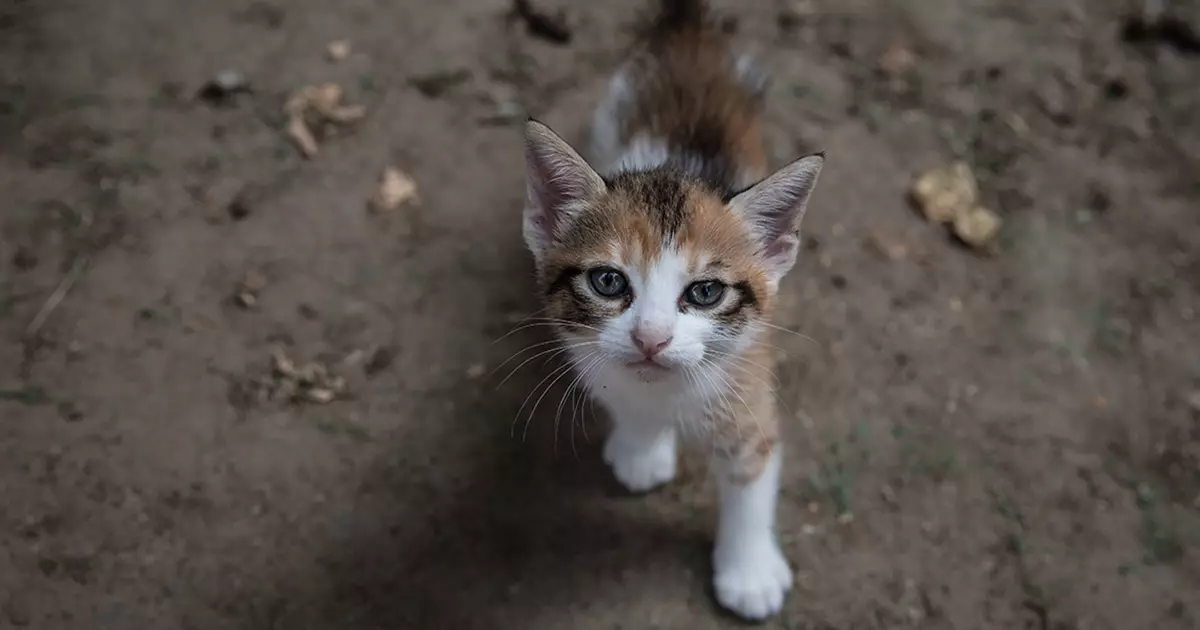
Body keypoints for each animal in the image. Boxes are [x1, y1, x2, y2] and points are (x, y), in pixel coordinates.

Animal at [520, 0, 820, 619]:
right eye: (608, 282)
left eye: (704, 293)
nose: (652, 339)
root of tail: (688, 28)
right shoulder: (595, 359)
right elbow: (625, 403)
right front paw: (640, 449)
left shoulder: (749, 386)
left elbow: (752, 476)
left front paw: (749, 571)